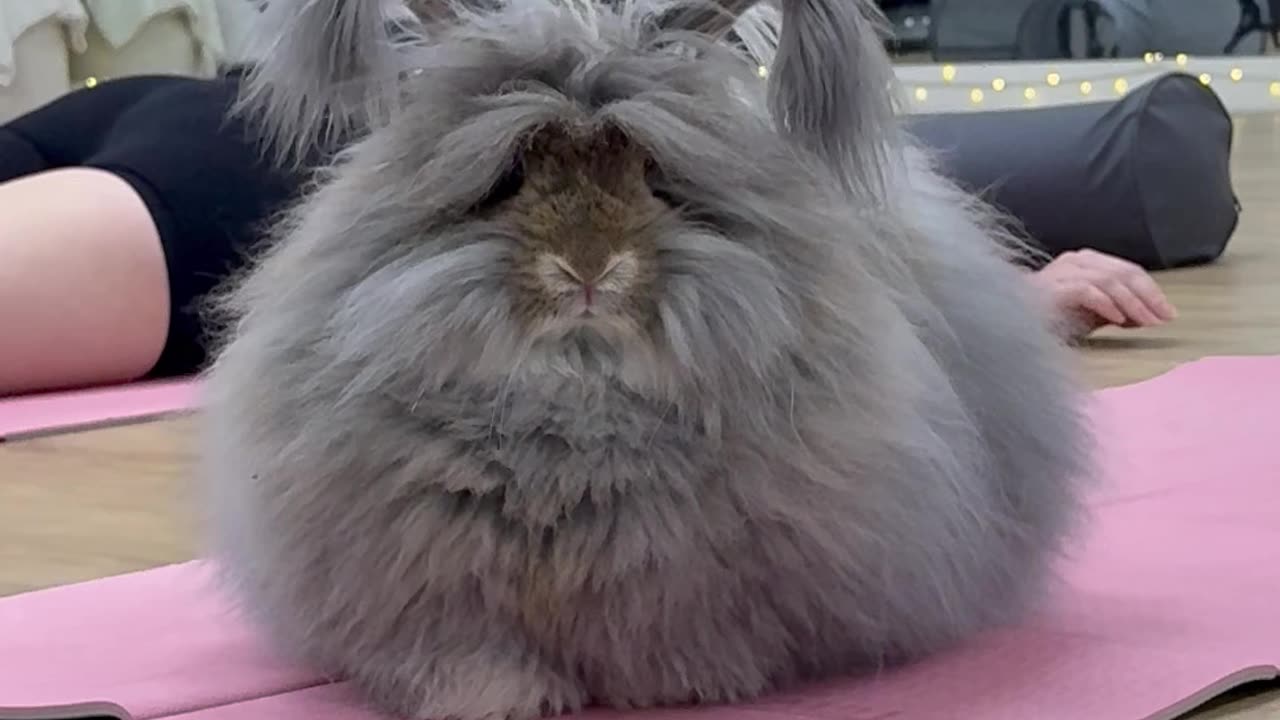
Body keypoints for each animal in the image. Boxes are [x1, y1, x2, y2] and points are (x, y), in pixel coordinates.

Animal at [198, 0, 1094, 718]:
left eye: (655, 176)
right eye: (510, 176)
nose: (589, 270)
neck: (574, 407)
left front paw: (672, 689)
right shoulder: (438, 601)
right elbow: (472, 659)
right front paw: (500, 701)